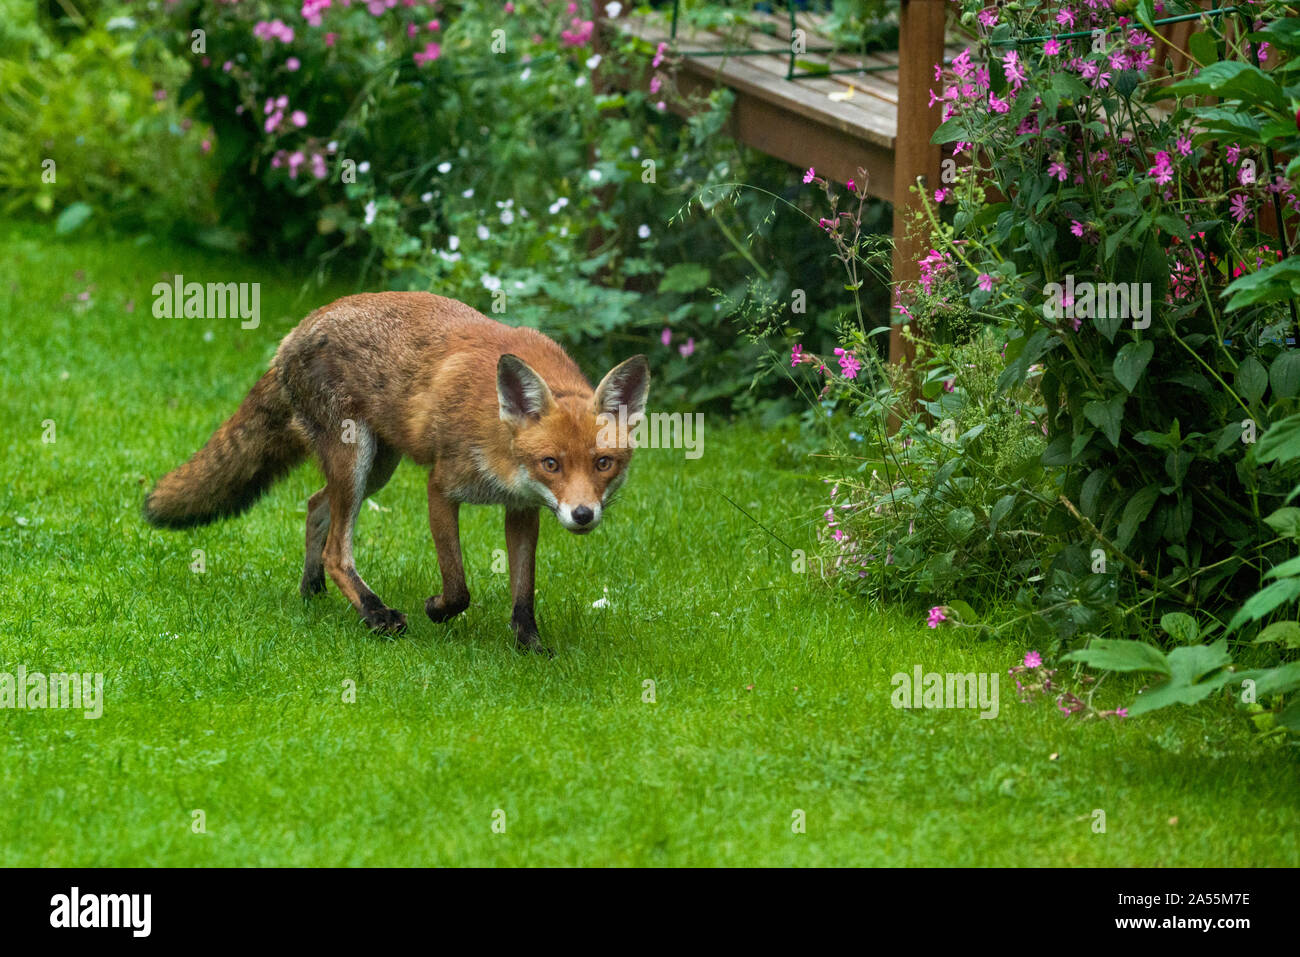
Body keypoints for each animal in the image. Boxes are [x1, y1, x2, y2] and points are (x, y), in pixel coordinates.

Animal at [143, 291, 650, 653]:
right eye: (551, 464)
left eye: (603, 463)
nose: (582, 515)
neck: (498, 430)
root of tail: (296, 331)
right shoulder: (441, 487)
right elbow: (458, 585)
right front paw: (438, 611)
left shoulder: (522, 508)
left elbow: (523, 591)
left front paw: (530, 646)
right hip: (355, 457)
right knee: (337, 549)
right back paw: (376, 615)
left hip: (376, 469)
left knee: (315, 507)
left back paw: (312, 591)